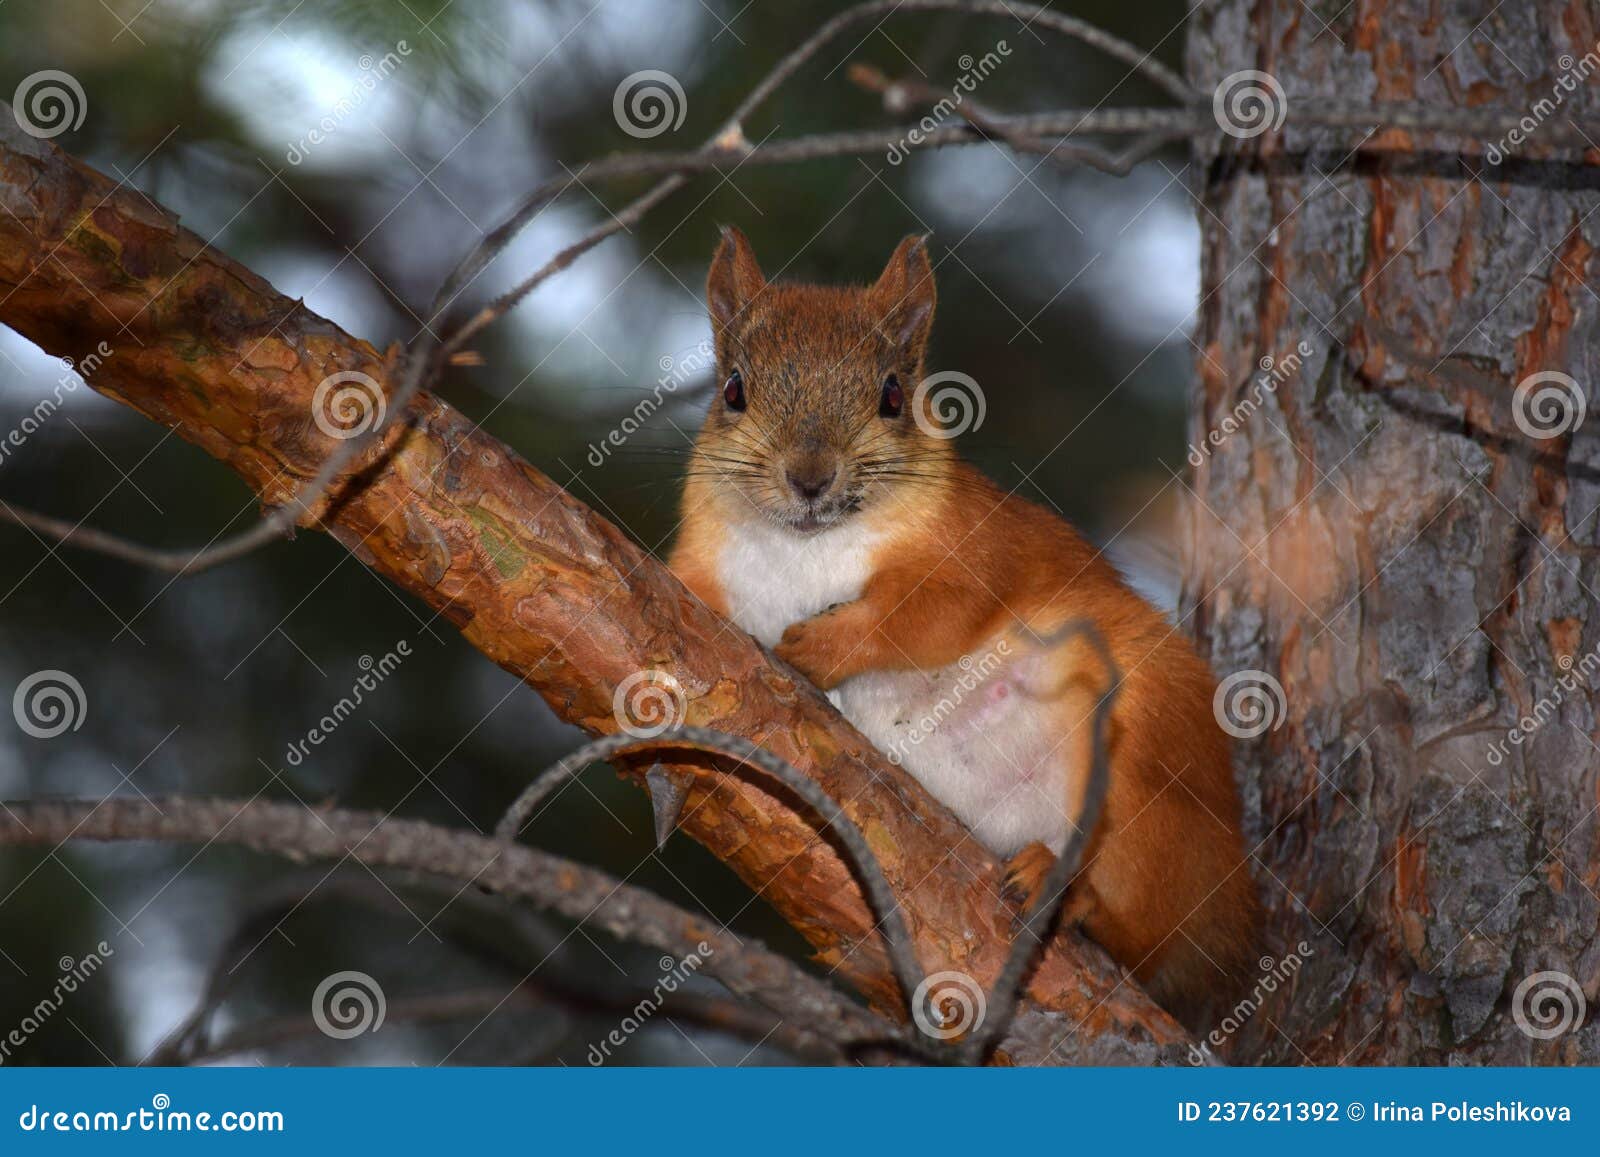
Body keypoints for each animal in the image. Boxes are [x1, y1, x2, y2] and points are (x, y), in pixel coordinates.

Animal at [667, 227, 1259, 1020]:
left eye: (892, 395)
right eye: (733, 389)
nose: (810, 478)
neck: (803, 549)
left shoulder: (977, 554)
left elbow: (925, 622)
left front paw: (820, 645)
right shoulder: (704, 566)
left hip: (1148, 772)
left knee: (1145, 935)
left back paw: (1071, 892)